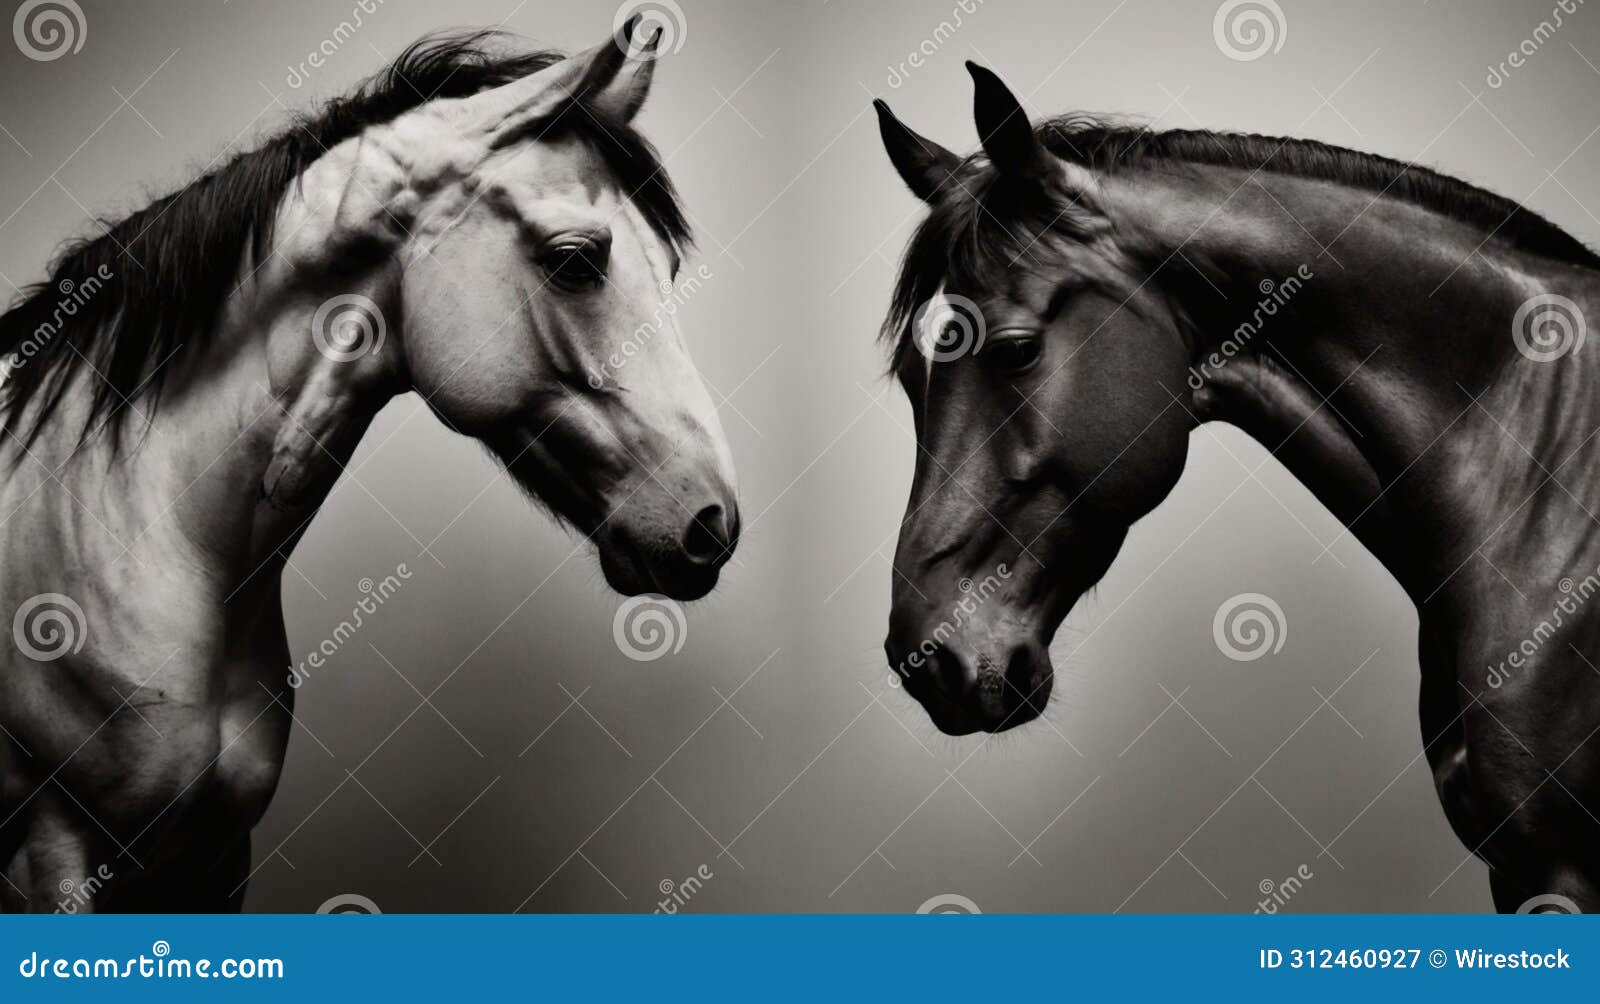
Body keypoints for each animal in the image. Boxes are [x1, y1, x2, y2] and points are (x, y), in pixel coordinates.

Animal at [0, 20, 739, 913]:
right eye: (575, 260)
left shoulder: (216, 858)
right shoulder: (55, 853)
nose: (713, 522)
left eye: (668, 267)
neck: (133, 525)